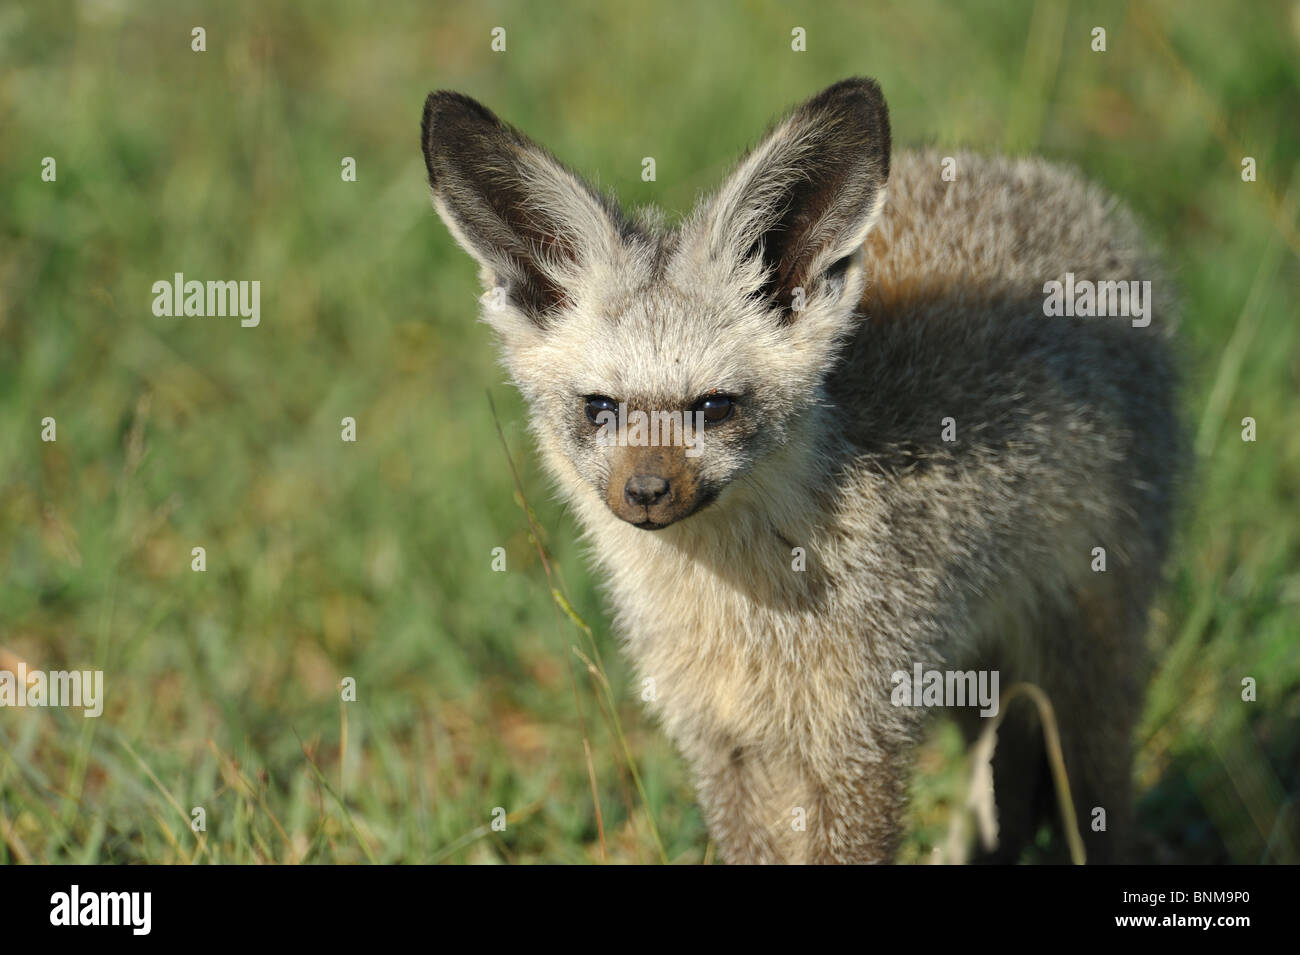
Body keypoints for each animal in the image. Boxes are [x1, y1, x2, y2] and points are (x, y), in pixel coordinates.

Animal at [420, 78, 1183, 864]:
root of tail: (1048, 182)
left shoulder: (861, 739)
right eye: (601, 408)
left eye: (713, 407)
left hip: (1083, 670)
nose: (645, 492)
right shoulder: (718, 738)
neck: (739, 617)